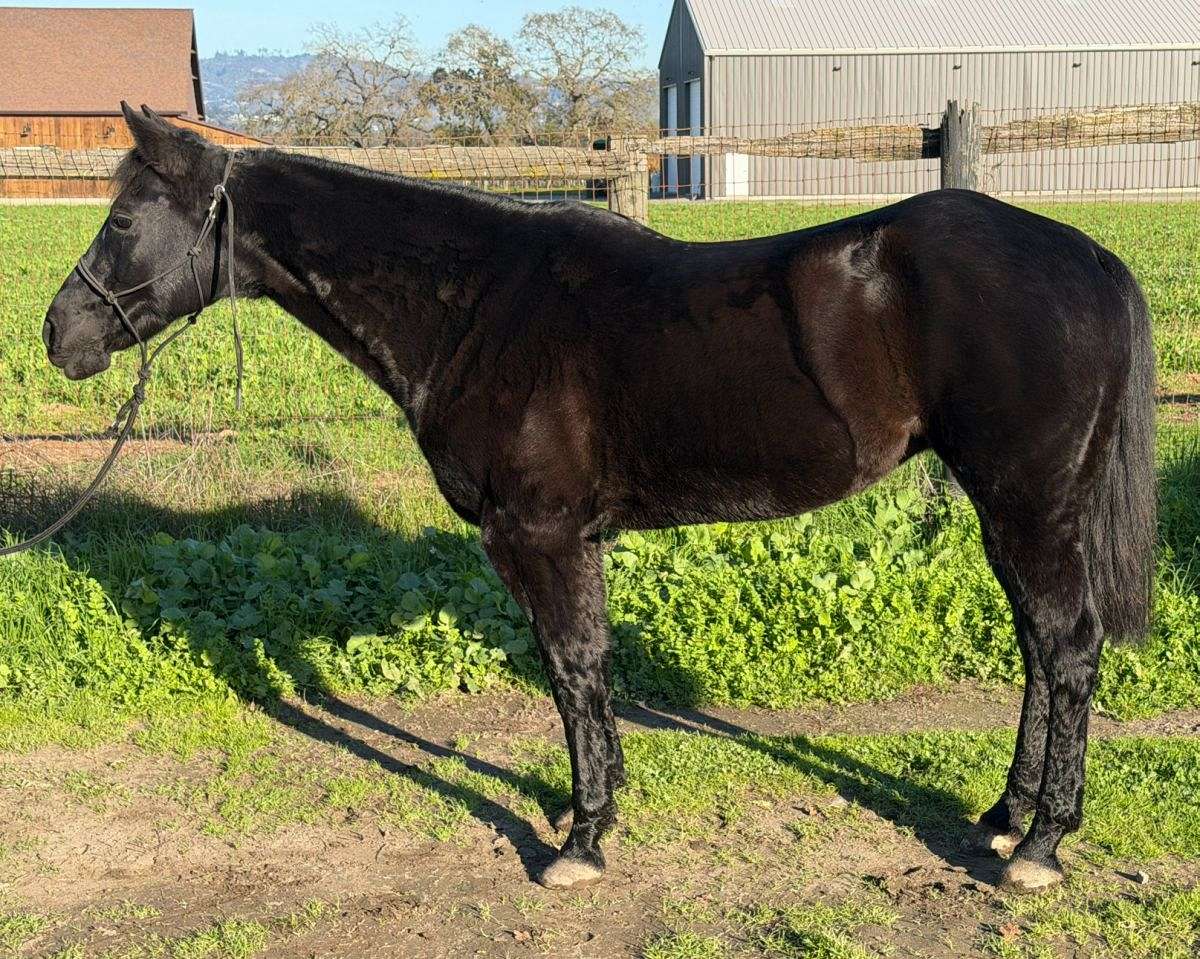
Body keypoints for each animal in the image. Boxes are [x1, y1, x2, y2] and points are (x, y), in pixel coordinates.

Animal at [42, 104, 1155, 893]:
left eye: (124, 218)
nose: (61, 335)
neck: (480, 306)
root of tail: (1090, 257)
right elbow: (584, 672)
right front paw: (595, 812)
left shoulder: (540, 536)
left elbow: (573, 671)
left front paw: (579, 838)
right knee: (1040, 647)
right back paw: (1003, 816)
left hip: (1027, 502)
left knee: (1067, 647)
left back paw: (1040, 843)